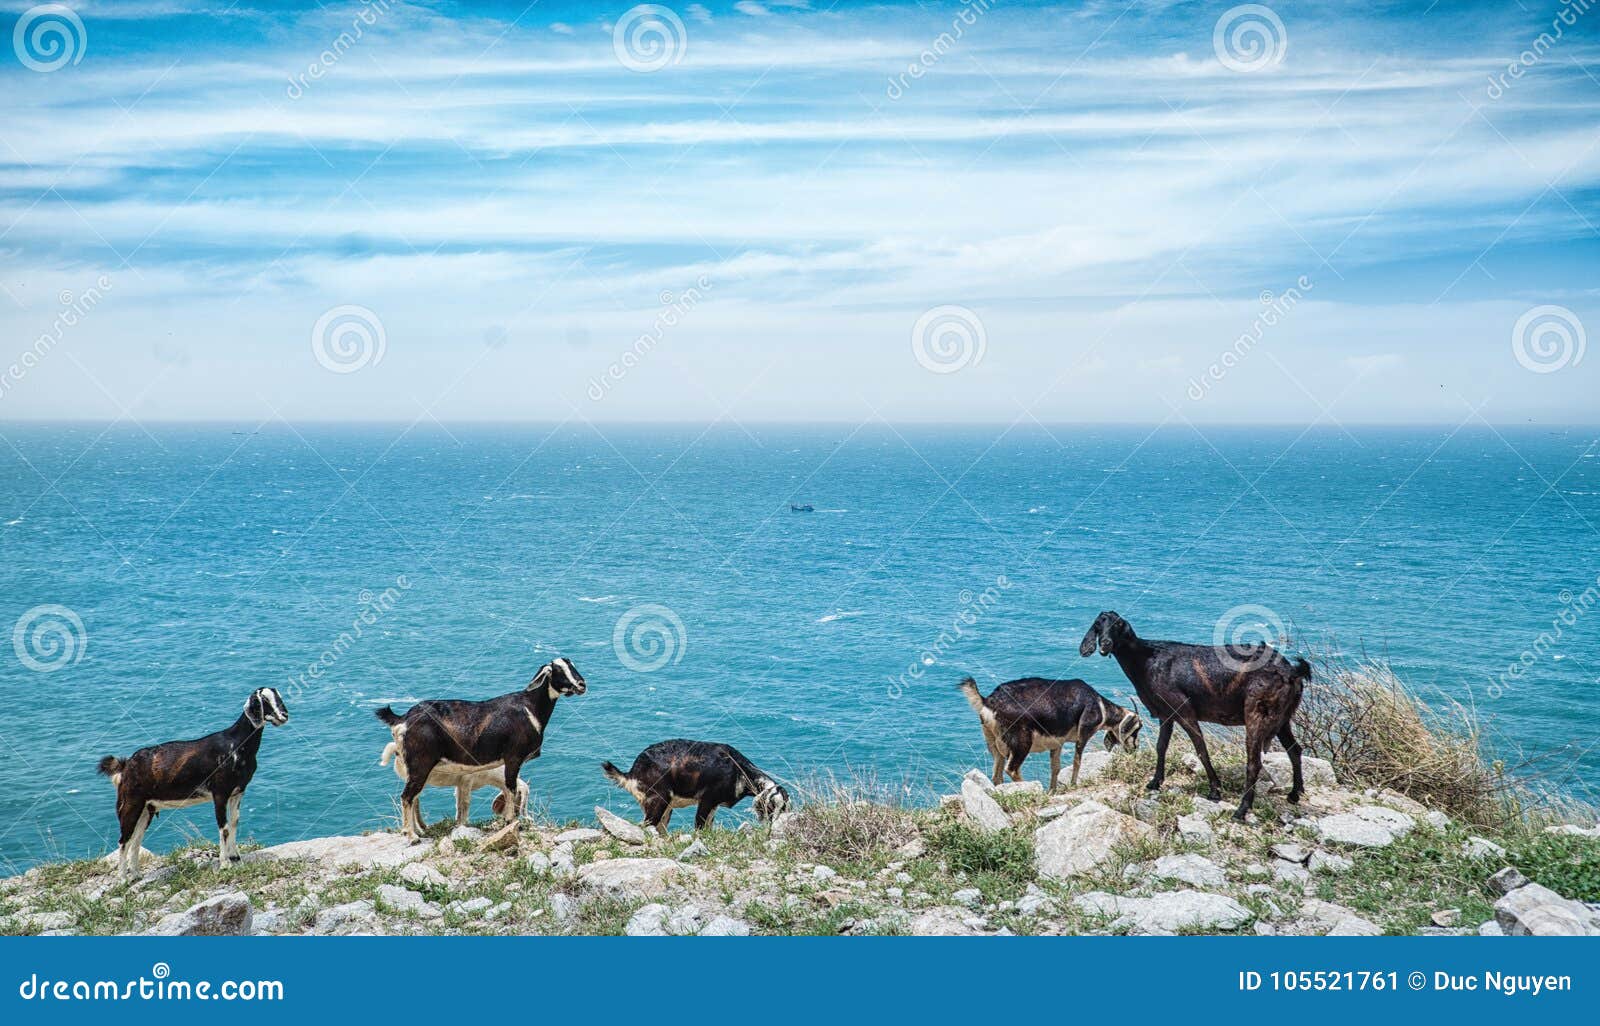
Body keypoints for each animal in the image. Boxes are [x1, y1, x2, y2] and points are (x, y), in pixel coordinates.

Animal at [97, 687, 289, 880]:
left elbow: (234, 822)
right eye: (264, 700)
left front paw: (236, 858)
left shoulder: (238, 792)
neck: (236, 744)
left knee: (135, 840)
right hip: (130, 803)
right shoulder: (220, 793)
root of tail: (125, 766)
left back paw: (136, 875)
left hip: (147, 808)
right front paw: (225, 863)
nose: (284, 715)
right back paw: (123, 878)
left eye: (278, 697)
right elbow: (224, 827)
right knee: (124, 840)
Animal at [374, 658, 585, 842]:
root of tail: (402, 720)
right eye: (558, 670)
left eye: (572, 665)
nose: (582, 684)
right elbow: (510, 788)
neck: (529, 708)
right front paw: (511, 821)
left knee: (413, 796)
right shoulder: (513, 757)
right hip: (420, 764)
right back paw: (412, 836)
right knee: (407, 796)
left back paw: (419, 831)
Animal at [601, 739, 790, 835]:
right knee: (648, 824)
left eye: (785, 808)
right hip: (658, 799)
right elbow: (700, 824)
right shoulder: (707, 800)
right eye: (771, 806)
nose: (775, 827)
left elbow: (708, 826)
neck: (739, 770)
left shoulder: (714, 804)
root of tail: (633, 771)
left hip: (665, 806)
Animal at [960, 676, 1141, 791]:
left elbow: (1056, 768)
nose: (1135, 748)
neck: (1100, 705)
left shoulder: (1057, 743)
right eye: (1137, 728)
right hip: (1021, 742)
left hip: (992, 742)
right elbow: (1077, 761)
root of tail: (988, 702)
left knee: (997, 773)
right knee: (1012, 769)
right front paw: (1073, 784)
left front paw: (1052, 790)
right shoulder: (1084, 734)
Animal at [1080, 610, 1310, 820]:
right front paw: (1155, 782)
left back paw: (1241, 810)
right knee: (1294, 749)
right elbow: (1161, 746)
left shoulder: (1184, 710)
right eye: (1099, 625)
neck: (1146, 660)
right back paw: (1294, 794)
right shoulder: (1166, 714)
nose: (1105, 644)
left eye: (1118, 625)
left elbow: (1201, 749)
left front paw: (1215, 790)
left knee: (1254, 762)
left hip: (1257, 712)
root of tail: (1292, 672)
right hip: (1283, 717)